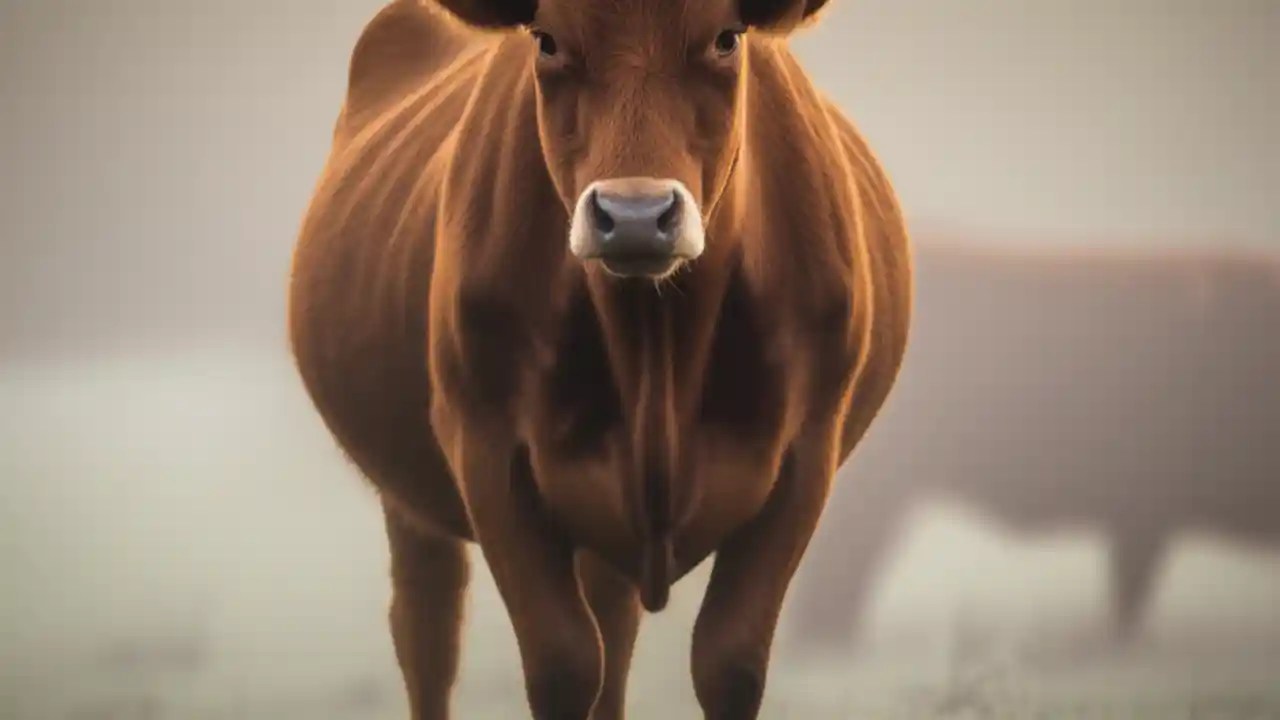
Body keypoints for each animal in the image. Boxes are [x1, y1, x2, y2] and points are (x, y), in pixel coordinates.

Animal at [285, 1, 913, 718]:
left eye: (727, 39)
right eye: (547, 40)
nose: (635, 216)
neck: (656, 345)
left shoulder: (807, 452)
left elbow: (728, 661)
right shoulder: (485, 446)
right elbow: (563, 663)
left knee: (611, 627)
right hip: (411, 496)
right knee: (429, 633)